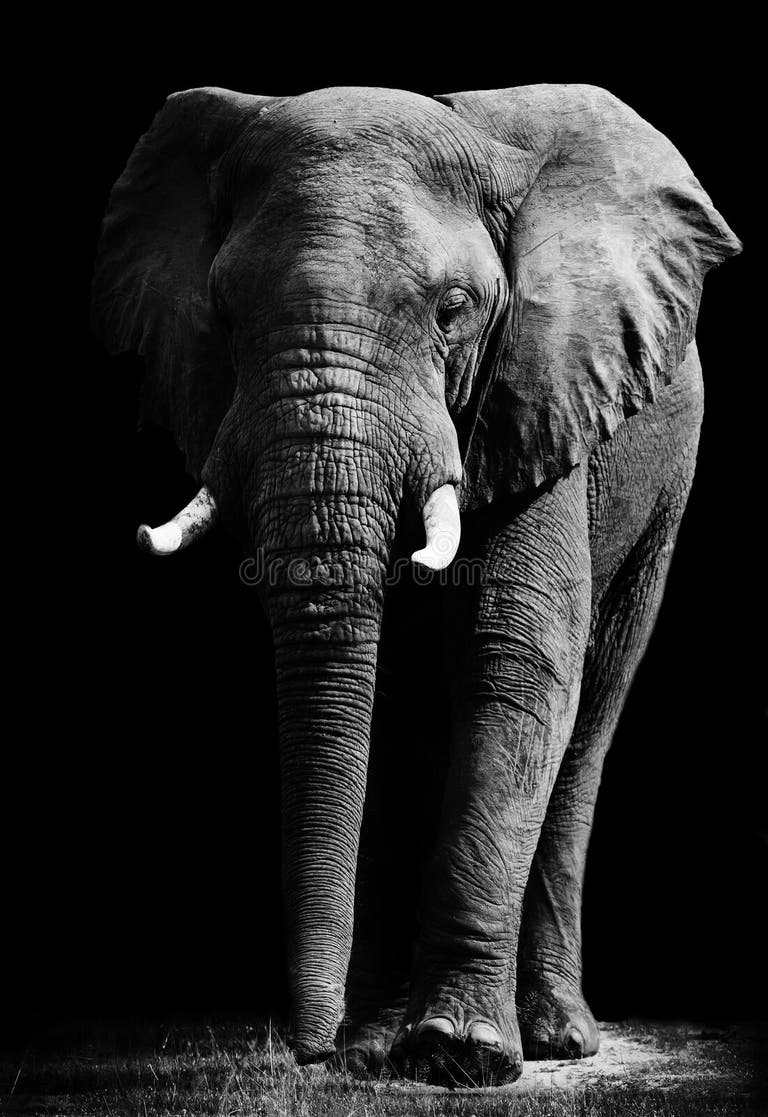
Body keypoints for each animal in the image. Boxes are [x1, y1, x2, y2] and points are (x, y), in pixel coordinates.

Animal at [92, 83, 740, 1086]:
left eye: (454, 309)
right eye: (222, 313)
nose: (308, 1052)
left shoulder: (539, 391)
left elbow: (518, 664)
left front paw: (458, 1054)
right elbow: (388, 700)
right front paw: (376, 1050)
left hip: (668, 481)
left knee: (591, 713)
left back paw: (554, 1038)